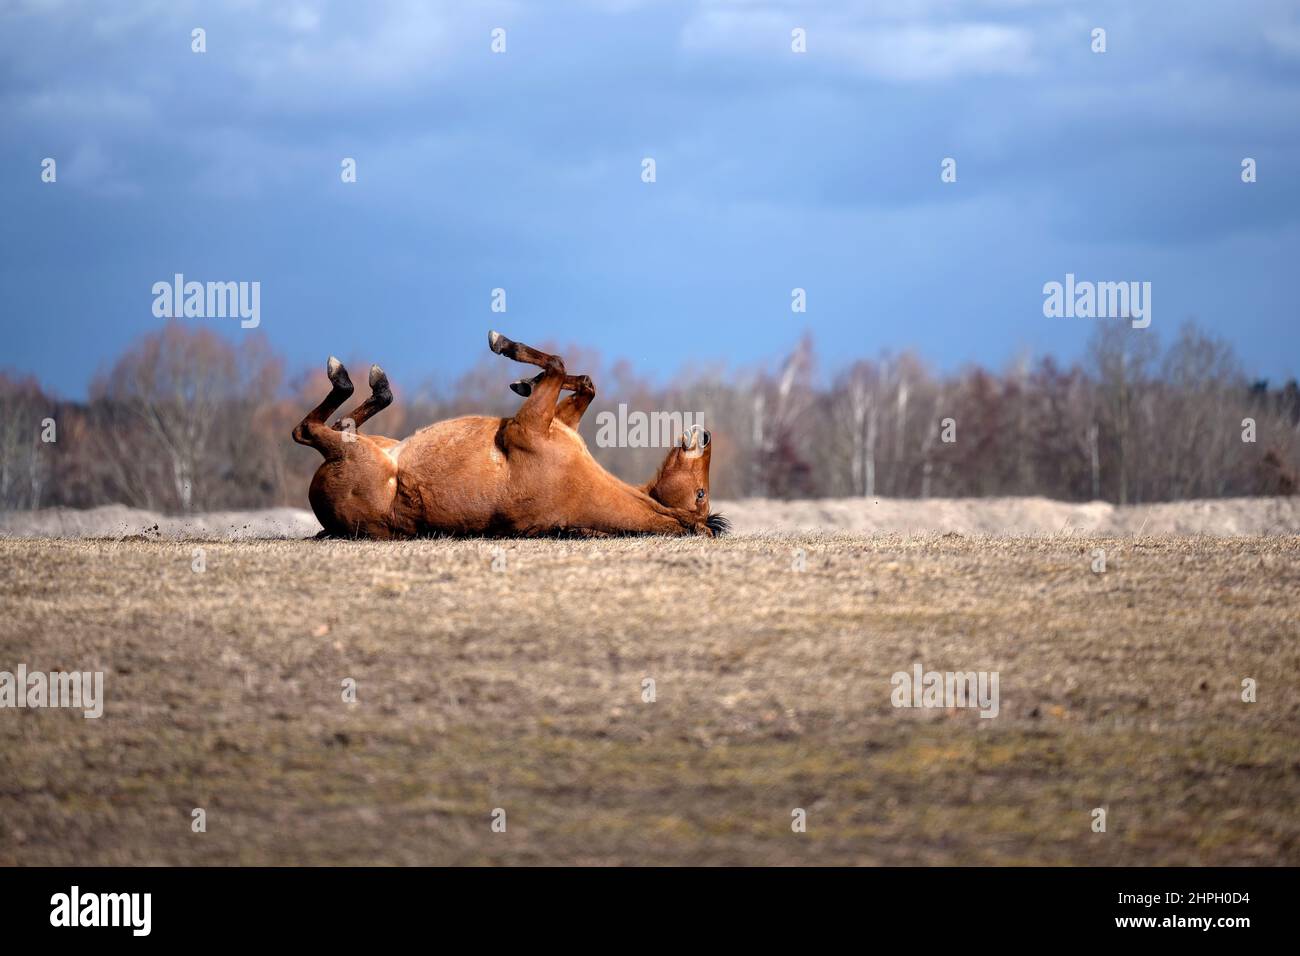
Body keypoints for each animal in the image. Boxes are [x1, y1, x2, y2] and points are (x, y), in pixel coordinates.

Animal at [291, 331, 727, 539]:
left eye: (700, 495)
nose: (706, 435)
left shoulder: (527, 424)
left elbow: (557, 364)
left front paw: (504, 346)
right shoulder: (556, 420)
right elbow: (585, 382)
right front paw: (524, 381)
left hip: (354, 454)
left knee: (306, 430)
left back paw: (350, 379)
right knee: (339, 423)